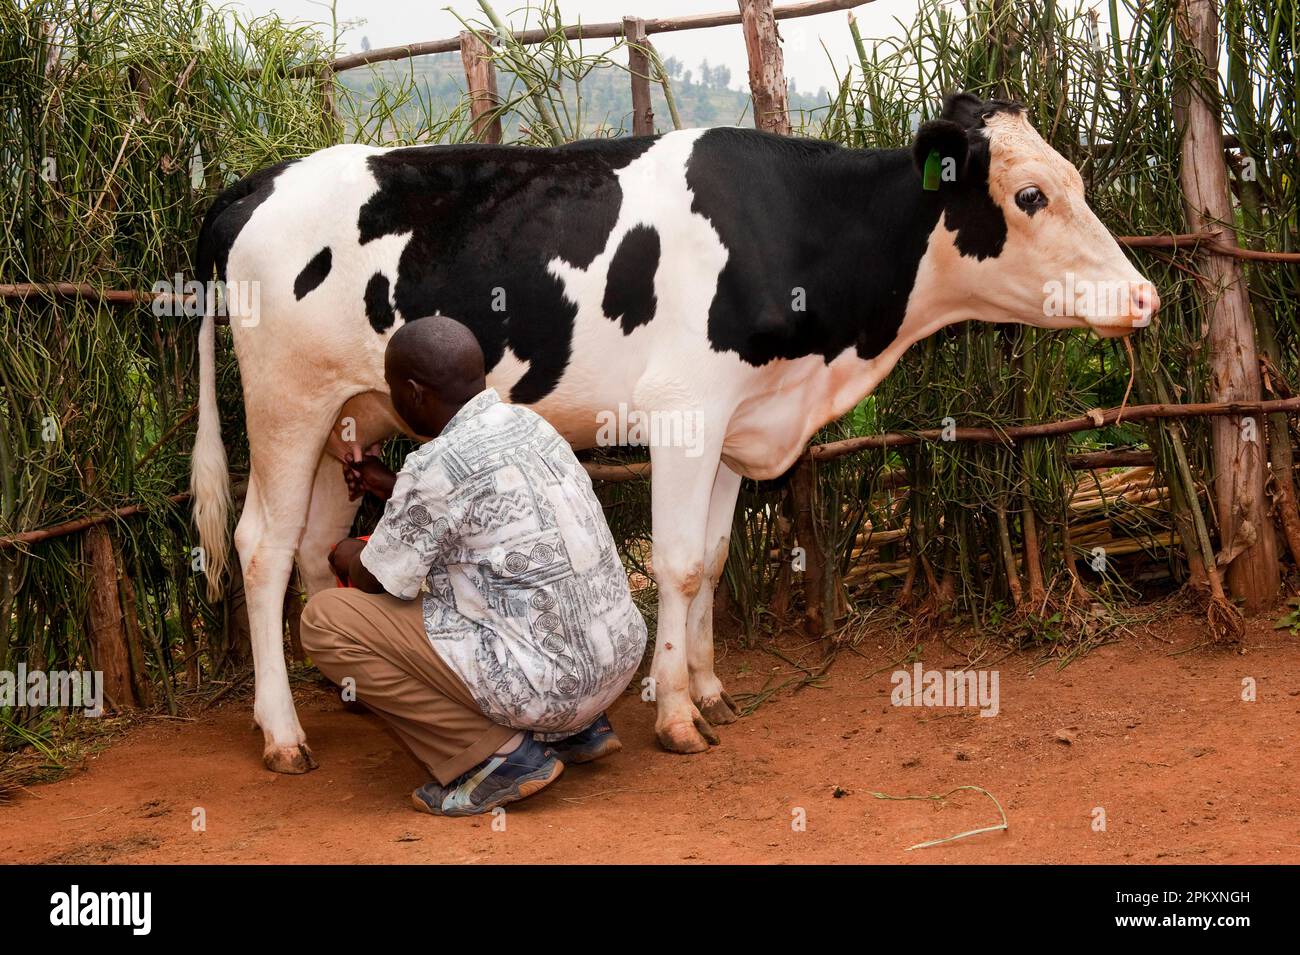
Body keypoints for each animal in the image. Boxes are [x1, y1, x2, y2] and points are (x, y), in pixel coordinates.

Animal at [190, 93, 1157, 774]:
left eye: (1075, 180)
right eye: (1029, 194)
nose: (1143, 296)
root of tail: (261, 181)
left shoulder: (739, 421)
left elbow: (719, 556)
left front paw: (710, 685)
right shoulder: (686, 411)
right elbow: (682, 562)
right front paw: (677, 712)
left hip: (344, 413)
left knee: (315, 546)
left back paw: (344, 694)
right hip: (285, 403)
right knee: (261, 547)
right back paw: (281, 732)